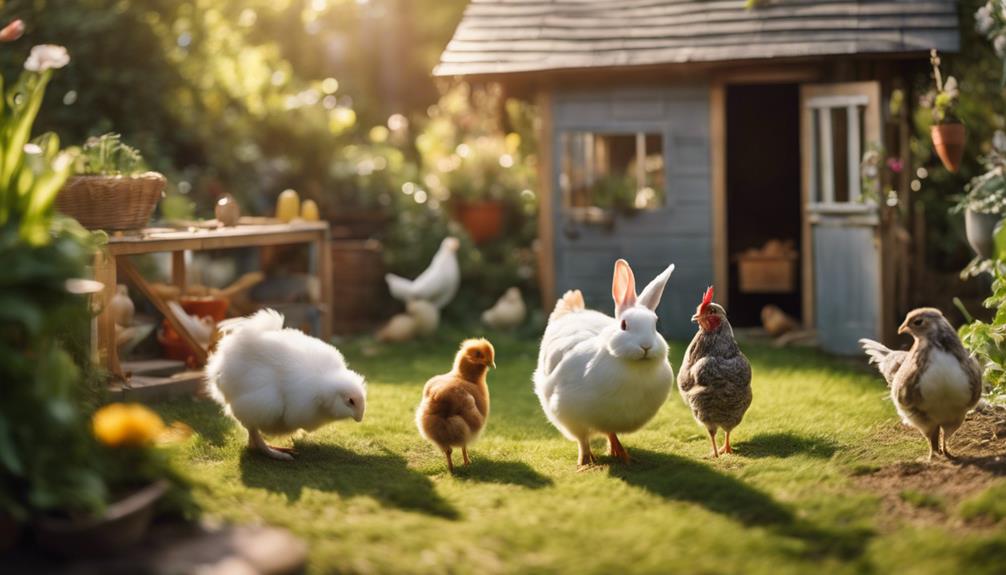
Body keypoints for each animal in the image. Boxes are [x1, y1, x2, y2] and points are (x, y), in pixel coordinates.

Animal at [533, 259, 675, 467]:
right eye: (624, 325)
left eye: (655, 325)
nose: (646, 346)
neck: (634, 367)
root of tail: (573, 310)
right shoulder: (573, 419)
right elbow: (583, 440)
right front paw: (585, 463)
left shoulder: (611, 419)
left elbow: (611, 433)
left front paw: (624, 456)